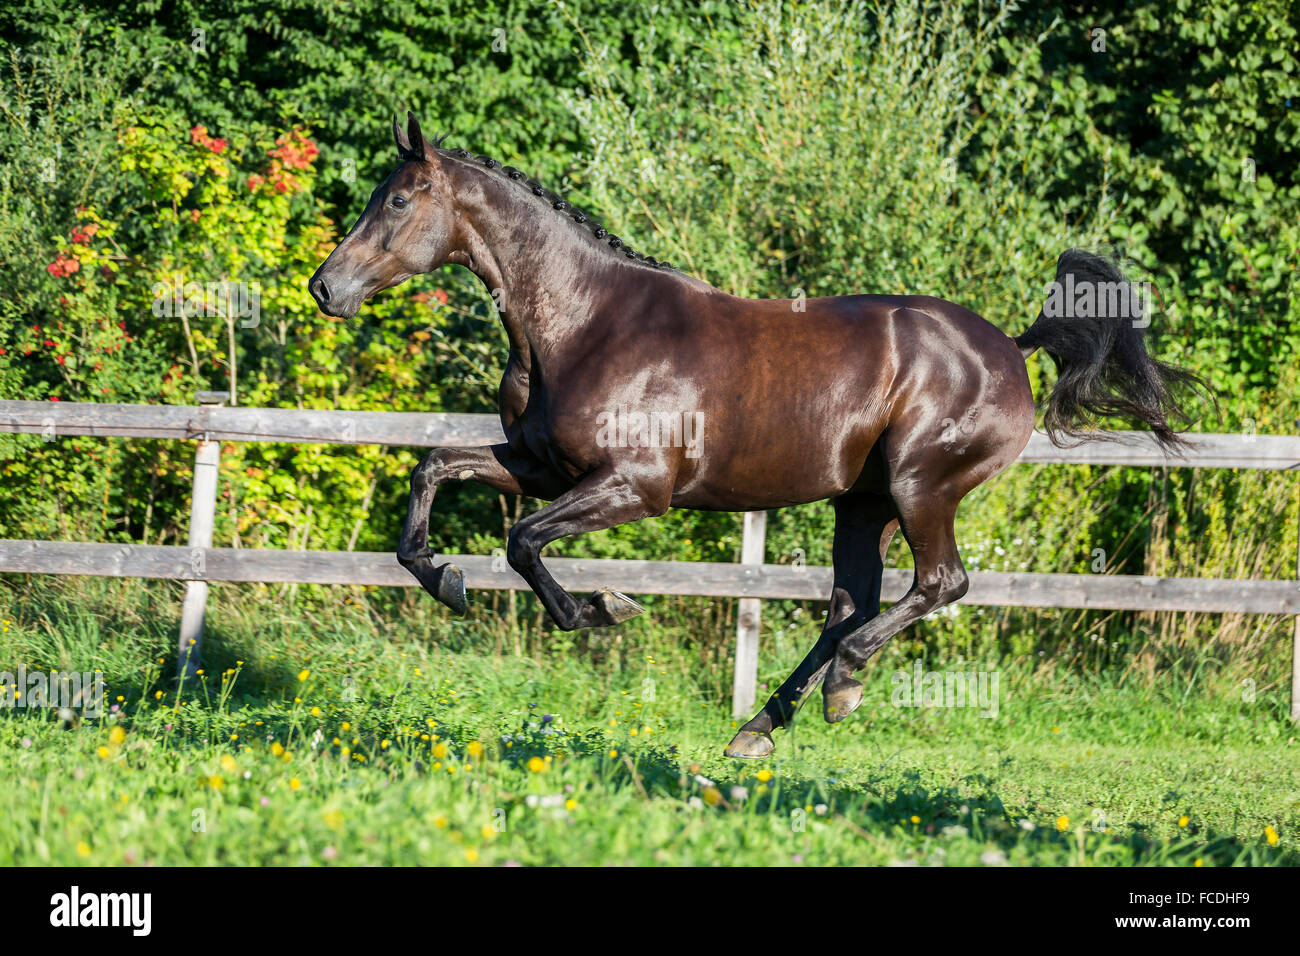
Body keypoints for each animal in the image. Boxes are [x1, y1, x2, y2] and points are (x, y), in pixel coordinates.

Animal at [309, 113, 1207, 758]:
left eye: (397, 200)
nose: (325, 288)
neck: (585, 324)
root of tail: (1012, 349)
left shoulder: (635, 487)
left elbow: (525, 543)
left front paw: (602, 608)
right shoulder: (539, 465)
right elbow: (434, 471)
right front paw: (446, 580)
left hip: (923, 486)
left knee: (937, 585)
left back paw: (842, 686)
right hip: (863, 503)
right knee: (851, 604)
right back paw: (762, 726)